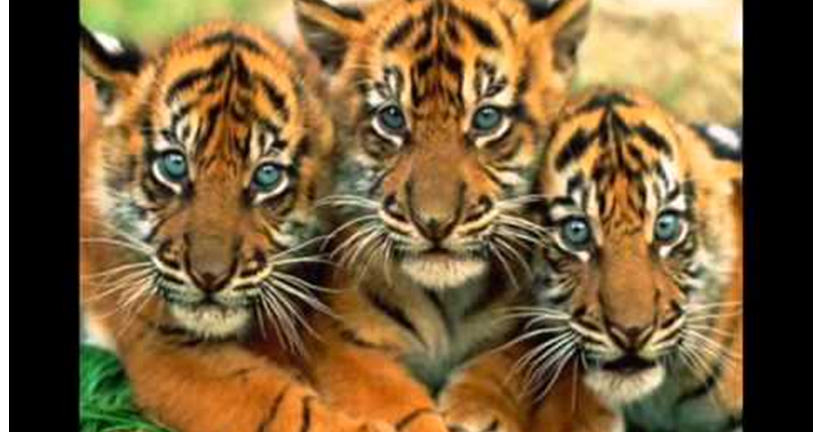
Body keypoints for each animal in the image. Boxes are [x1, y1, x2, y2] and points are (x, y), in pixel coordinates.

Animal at [284, 0, 592, 431]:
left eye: (486, 118)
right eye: (392, 118)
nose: (434, 223)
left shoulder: (523, 326)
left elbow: (502, 369)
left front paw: (480, 412)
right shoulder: (343, 338)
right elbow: (394, 399)